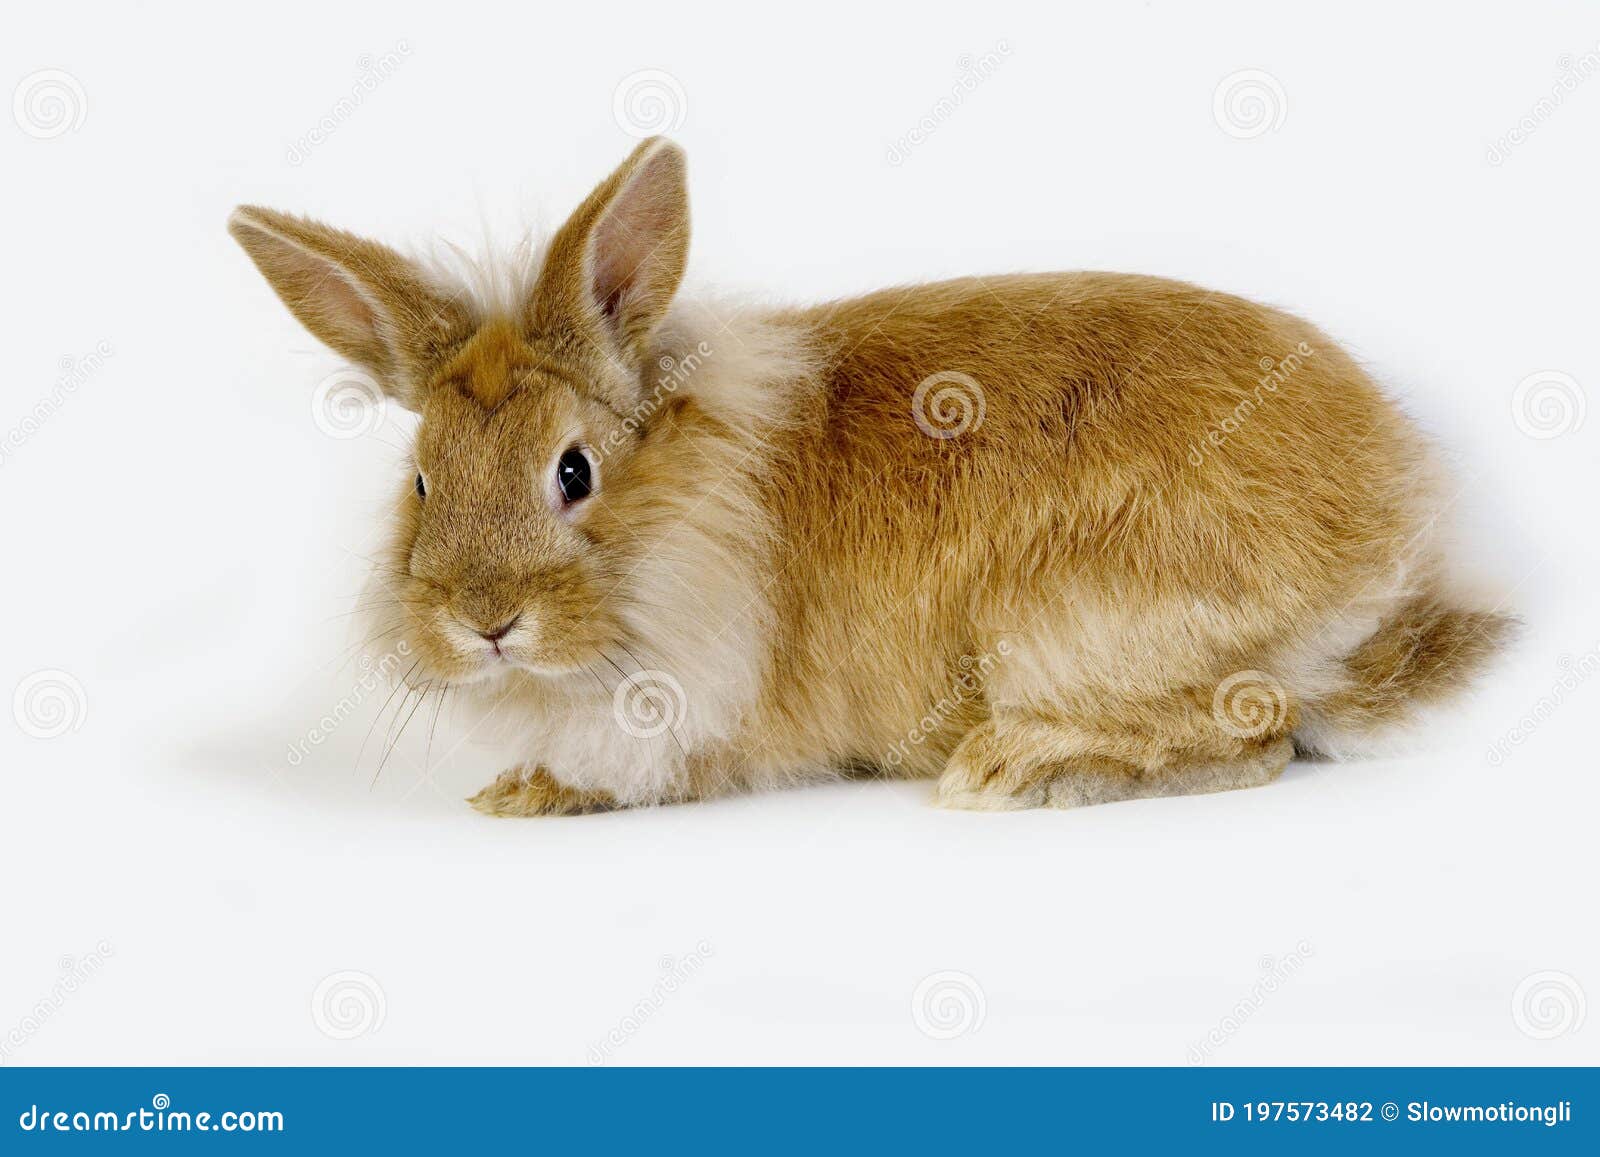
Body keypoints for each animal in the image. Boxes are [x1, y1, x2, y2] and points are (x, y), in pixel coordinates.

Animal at [229, 137, 1513, 816]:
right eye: (422, 483)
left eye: (574, 470)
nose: (482, 622)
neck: (688, 510)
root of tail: (1398, 524)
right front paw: (513, 792)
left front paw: (536, 791)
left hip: (1066, 624)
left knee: (1255, 736)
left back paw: (1014, 769)